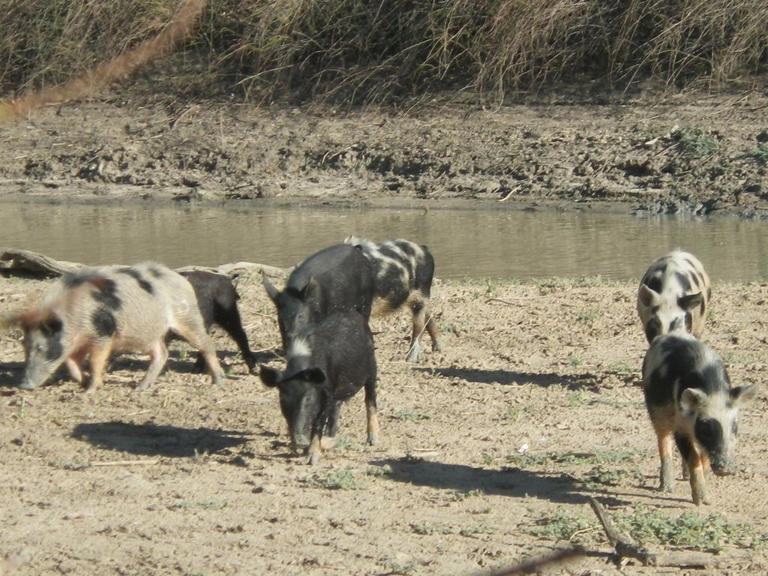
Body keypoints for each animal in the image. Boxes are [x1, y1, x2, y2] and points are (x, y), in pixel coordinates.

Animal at [12, 262, 224, 392]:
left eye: (41, 347)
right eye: (25, 348)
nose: (23, 385)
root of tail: (180, 279)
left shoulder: (103, 334)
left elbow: (95, 361)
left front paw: (89, 390)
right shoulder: (76, 343)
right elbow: (72, 364)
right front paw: (83, 382)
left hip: (187, 318)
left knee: (206, 343)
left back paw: (218, 381)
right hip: (151, 333)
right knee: (161, 353)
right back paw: (140, 388)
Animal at [259, 310, 378, 465]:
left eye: (309, 398)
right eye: (282, 399)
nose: (299, 440)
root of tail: (353, 313)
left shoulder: (327, 392)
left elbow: (318, 423)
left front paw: (312, 459)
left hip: (372, 367)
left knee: (370, 399)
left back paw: (372, 440)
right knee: (336, 409)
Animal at [642, 332, 756, 505]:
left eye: (734, 427)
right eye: (706, 428)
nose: (726, 469)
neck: (713, 390)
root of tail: (671, 333)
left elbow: (703, 457)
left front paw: (707, 498)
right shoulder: (681, 425)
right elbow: (693, 457)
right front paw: (701, 501)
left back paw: (684, 476)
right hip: (656, 407)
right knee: (663, 438)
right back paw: (667, 488)